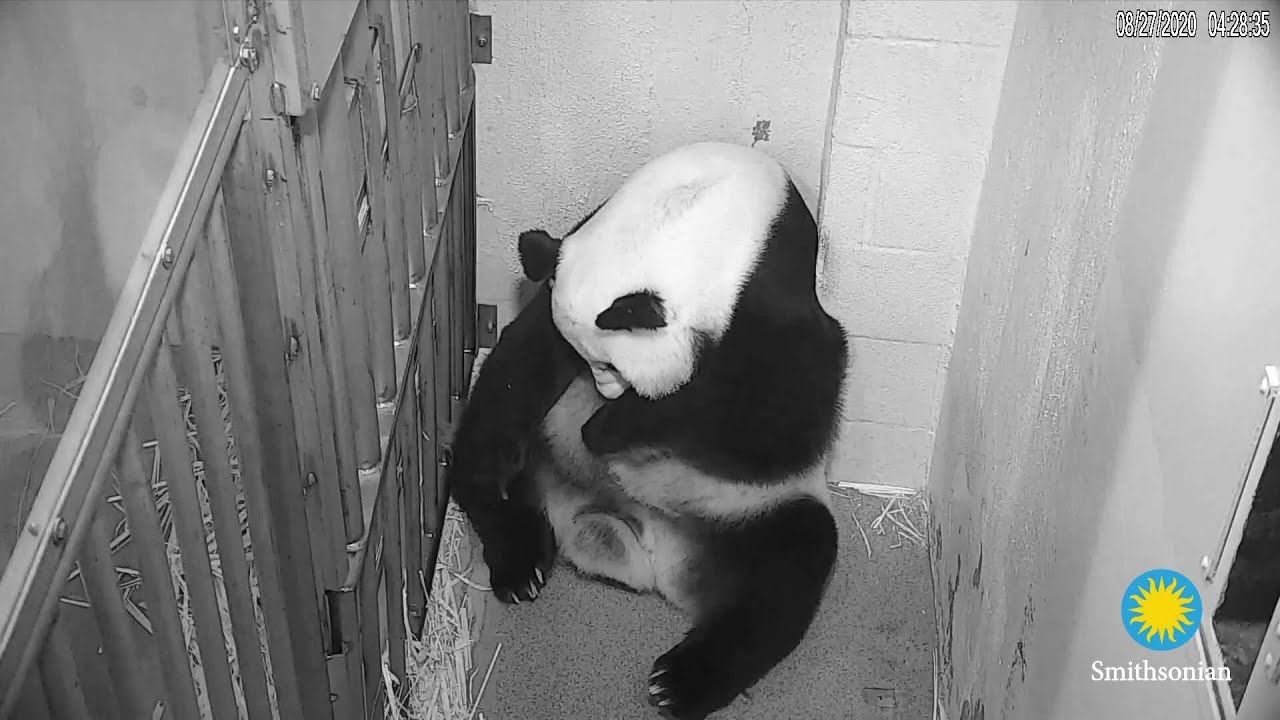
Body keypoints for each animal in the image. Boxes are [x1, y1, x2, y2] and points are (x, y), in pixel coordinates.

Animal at [448, 141, 849, 720]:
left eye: (613, 367)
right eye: (592, 363)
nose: (606, 392)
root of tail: (659, 560)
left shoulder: (775, 302)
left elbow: (781, 414)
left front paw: (618, 423)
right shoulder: (561, 291)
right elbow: (519, 364)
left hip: (758, 508)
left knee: (789, 571)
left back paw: (680, 681)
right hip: (546, 450)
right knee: (503, 457)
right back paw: (522, 559)